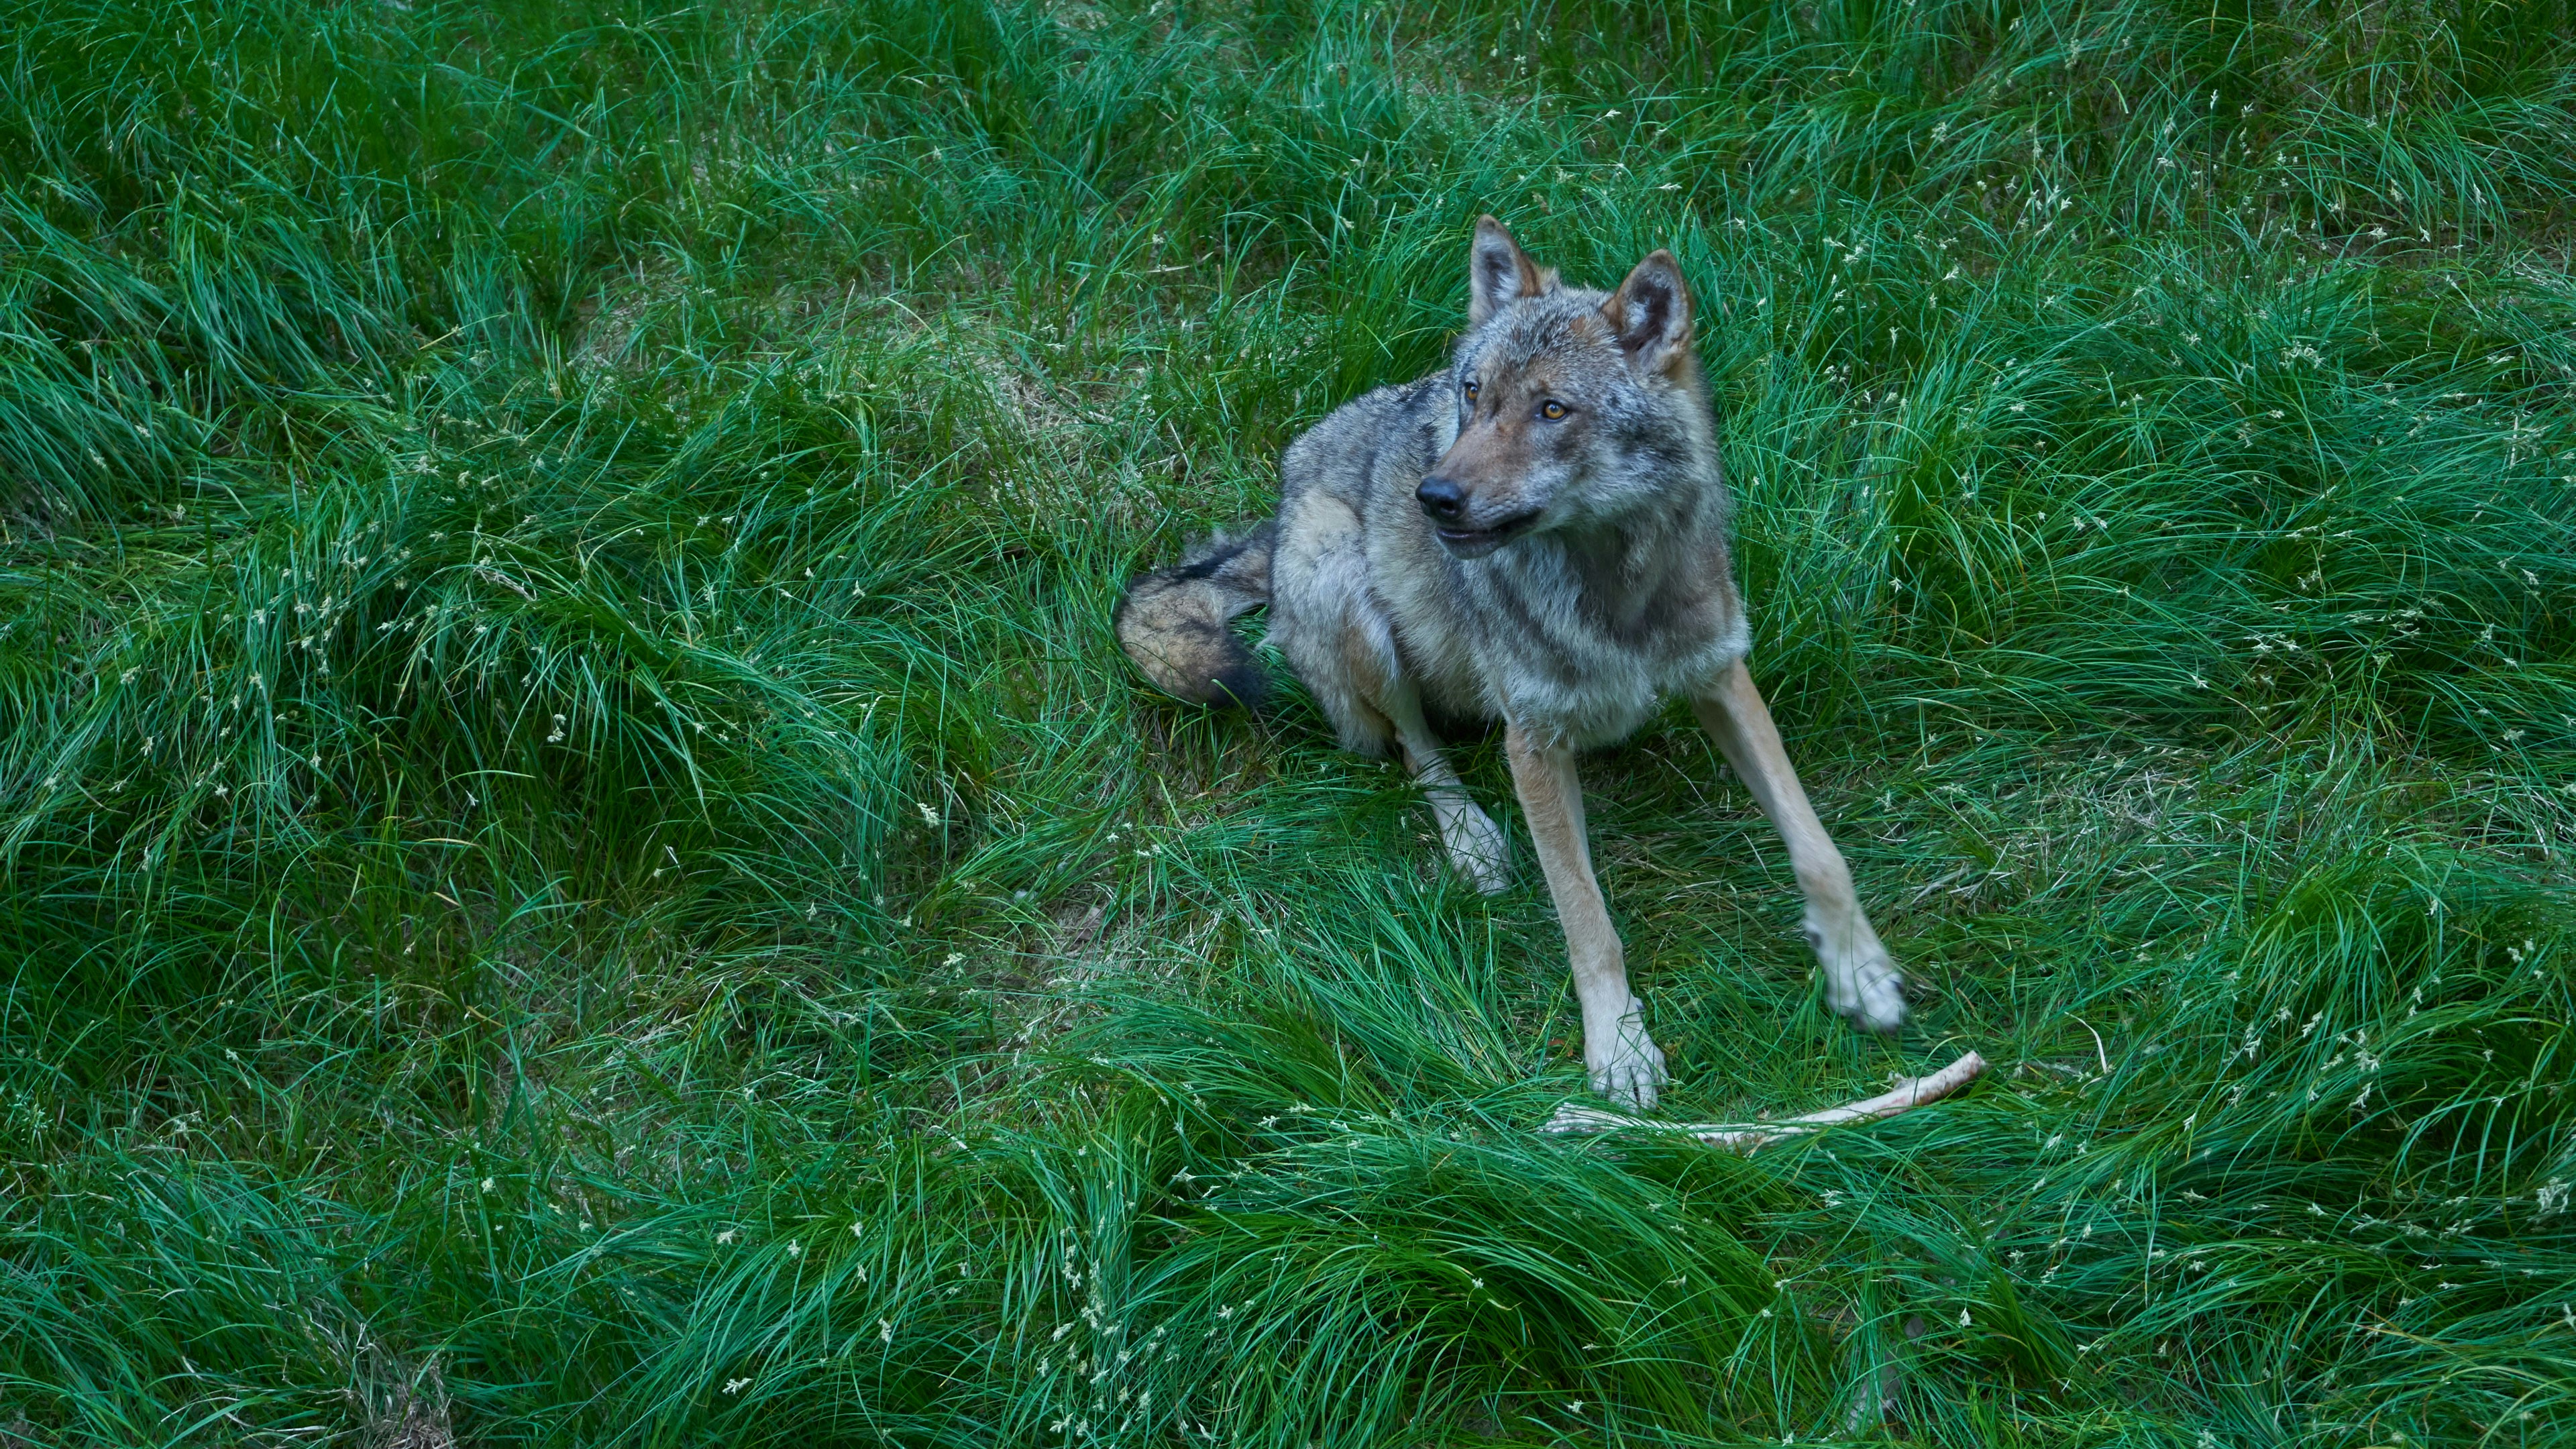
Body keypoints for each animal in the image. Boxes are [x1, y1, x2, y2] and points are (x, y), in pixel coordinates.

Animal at [1116, 217, 1904, 1108]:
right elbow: (1588, 919)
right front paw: (1620, 1049)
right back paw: (1474, 844)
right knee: (1416, 751)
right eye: (1472, 394)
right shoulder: (1532, 744)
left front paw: (1858, 969)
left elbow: (1818, 847)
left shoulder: (1722, 677)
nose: (1434, 498)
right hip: (1354, 593)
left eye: (1551, 409)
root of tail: (1280, 513)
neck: (1612, 592)